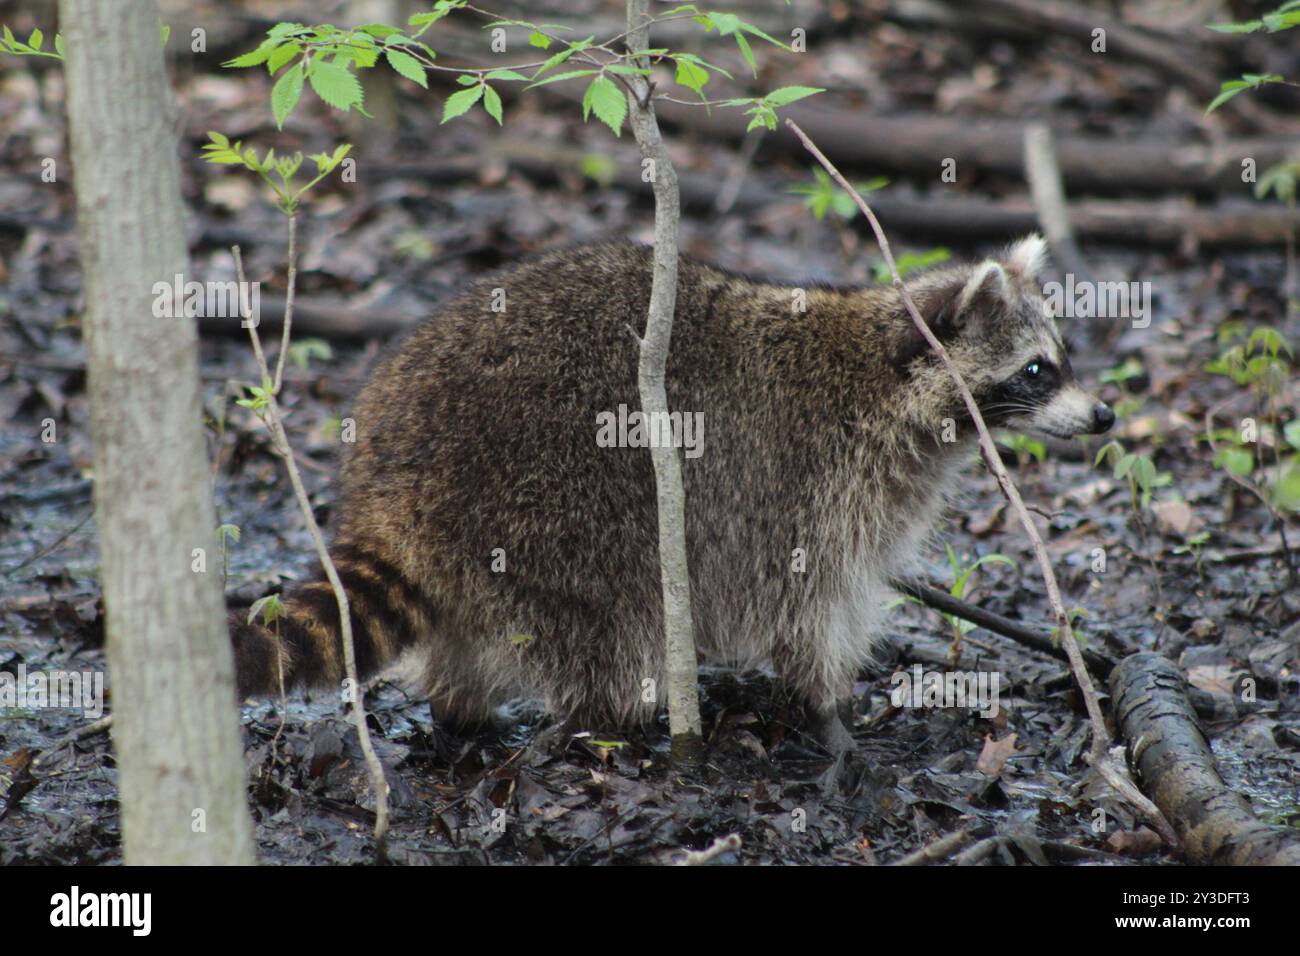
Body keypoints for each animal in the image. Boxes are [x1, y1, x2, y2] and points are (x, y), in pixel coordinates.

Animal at [229, 234, 1112, 750]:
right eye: (1038, 370)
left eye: (1063, 358)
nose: (1105, 414)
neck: (884, 369)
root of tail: (389, 490)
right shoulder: (811, 487)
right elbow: (811, 602)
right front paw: (830, 702)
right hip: (551, 511)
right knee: (608, 627)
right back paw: (608, 719)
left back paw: (462, 706)